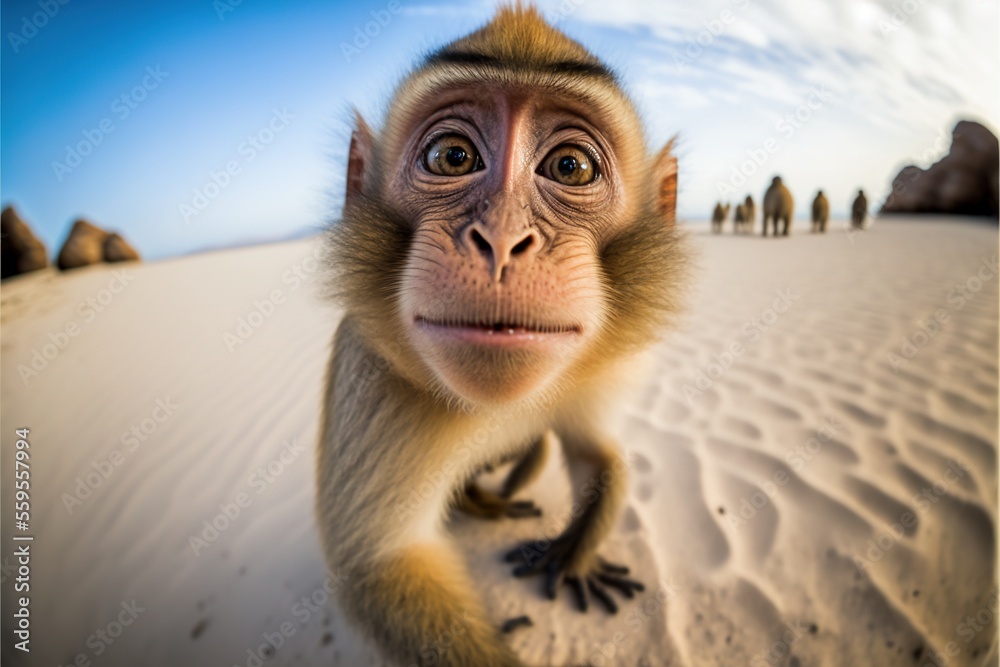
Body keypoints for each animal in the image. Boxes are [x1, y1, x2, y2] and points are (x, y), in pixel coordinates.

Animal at [316, 6, 688, 667]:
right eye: (452, 157)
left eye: (571, 167)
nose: (503, 238)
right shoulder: (372, 377)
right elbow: (382, 567)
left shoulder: (606, 365)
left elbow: (597, 453)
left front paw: (571, 556)